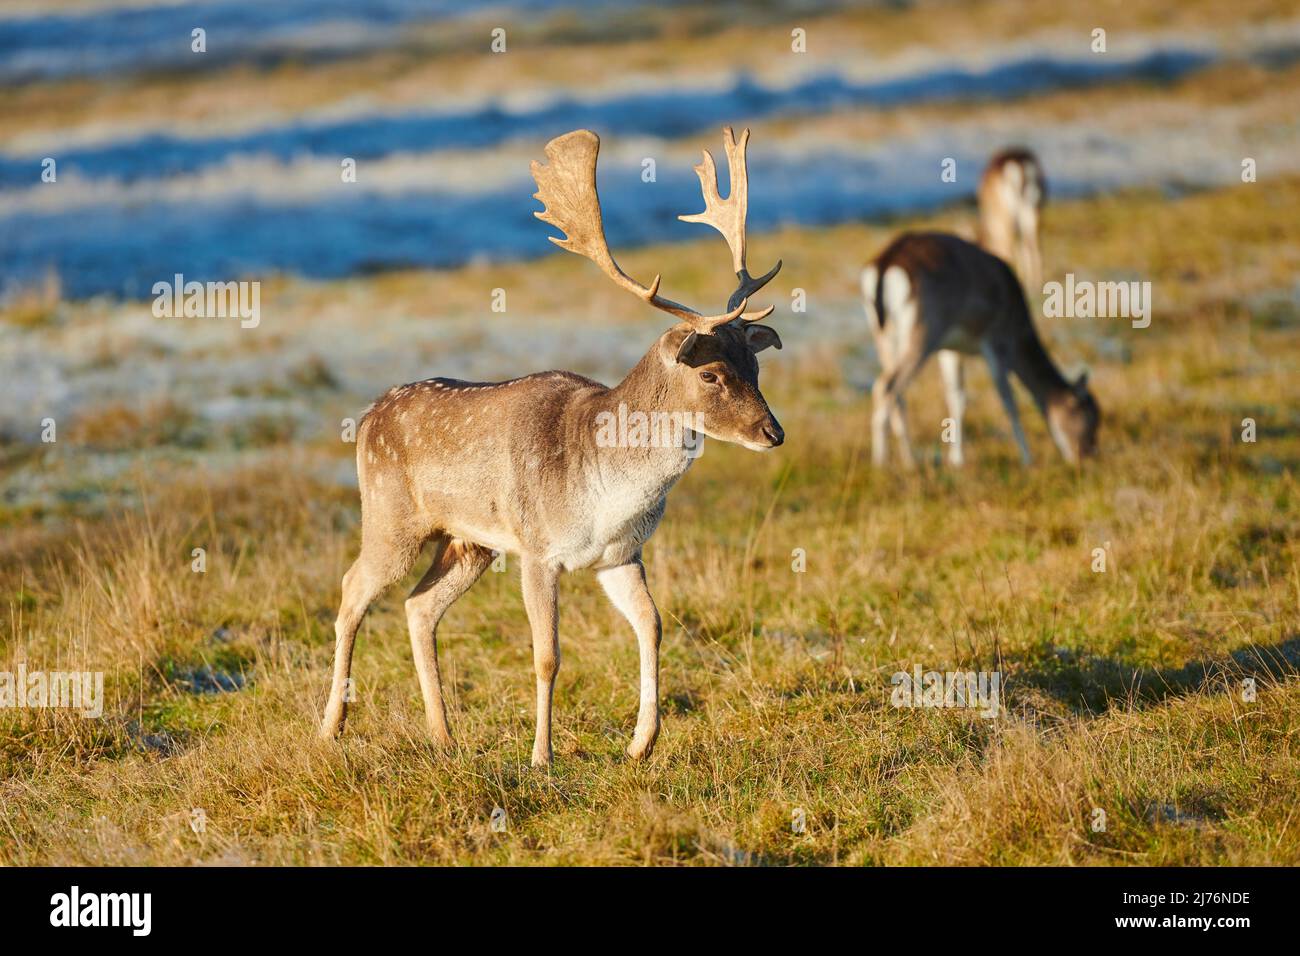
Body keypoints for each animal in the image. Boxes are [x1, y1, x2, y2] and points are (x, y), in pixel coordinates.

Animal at [319, 126, 785, 768]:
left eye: (756, 365)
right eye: (712, 374)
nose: (773, 432)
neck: (607, 490)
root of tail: (366, 417)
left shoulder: (620, 554)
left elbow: (652, 625)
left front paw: (642, 743)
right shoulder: (538, 550)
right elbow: (547, 655)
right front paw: (542, 756)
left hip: (469, 542)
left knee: (418, 605)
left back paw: (444, 736)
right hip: (392, 518)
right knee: (351, 591)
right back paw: (330, 728)